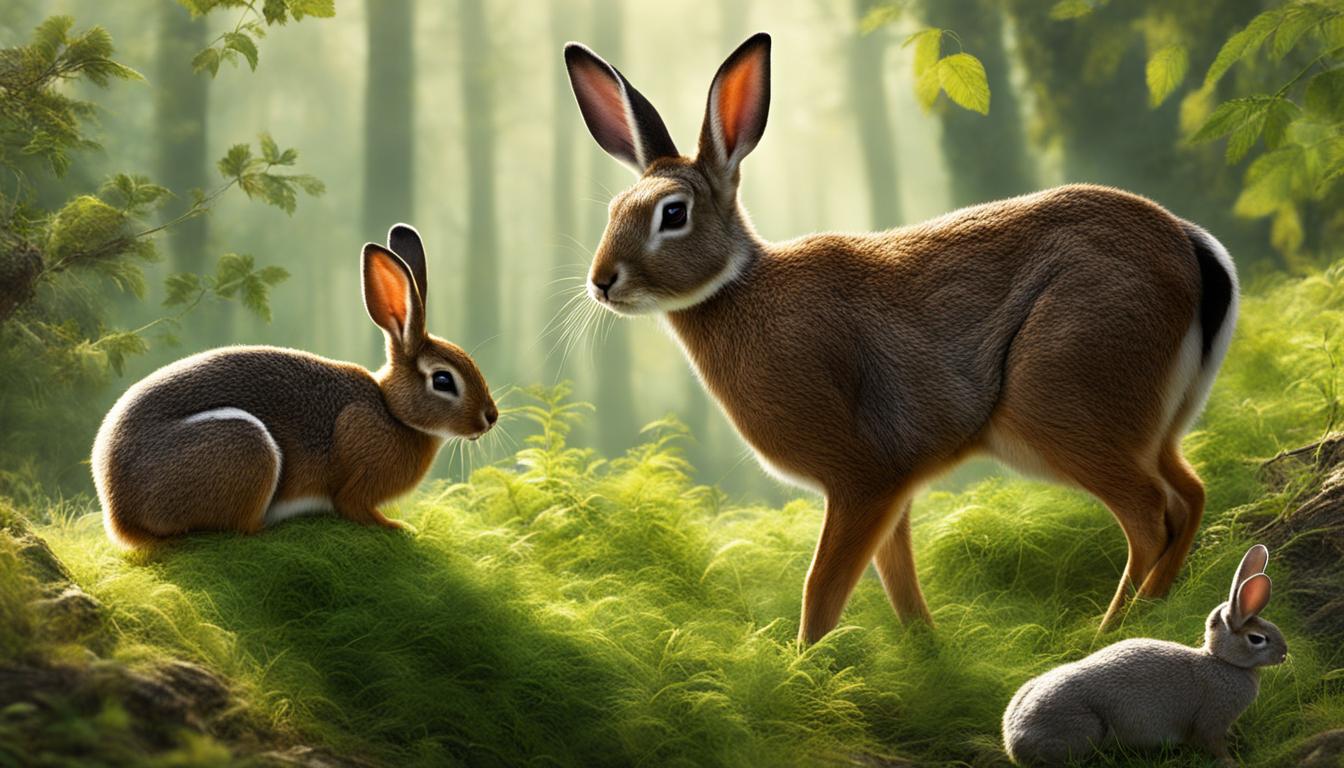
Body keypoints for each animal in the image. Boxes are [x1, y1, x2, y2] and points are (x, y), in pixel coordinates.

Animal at [92, 224, 498, 547]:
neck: (392, 412)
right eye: (443, 379)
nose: (490, 417)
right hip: (246, 445)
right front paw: (399, 527)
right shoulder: (355, 489)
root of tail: (118, 511)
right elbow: (356, 510)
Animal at [563, 32, 1239, 642]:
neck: (738, 287)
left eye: (672, 214)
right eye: (614, 210)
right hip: (1143, 425)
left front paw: (804, 671)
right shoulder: (893, 493)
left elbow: (824, 590)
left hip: (1061, 403)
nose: (602, 281)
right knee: (1189, 493)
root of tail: (1189, 253)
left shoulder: (864, 478)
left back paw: (1110, 636)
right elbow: (898, 581)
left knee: (1150, 517)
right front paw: (927, 654)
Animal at [1001, 544, 1287, 766]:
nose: (1284, 654)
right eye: (1257, 639)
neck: (1220, 660)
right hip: (1084, 729)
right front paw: (1232, 762)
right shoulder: (1212, 719)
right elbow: (1213, 743)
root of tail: (1013, 741)